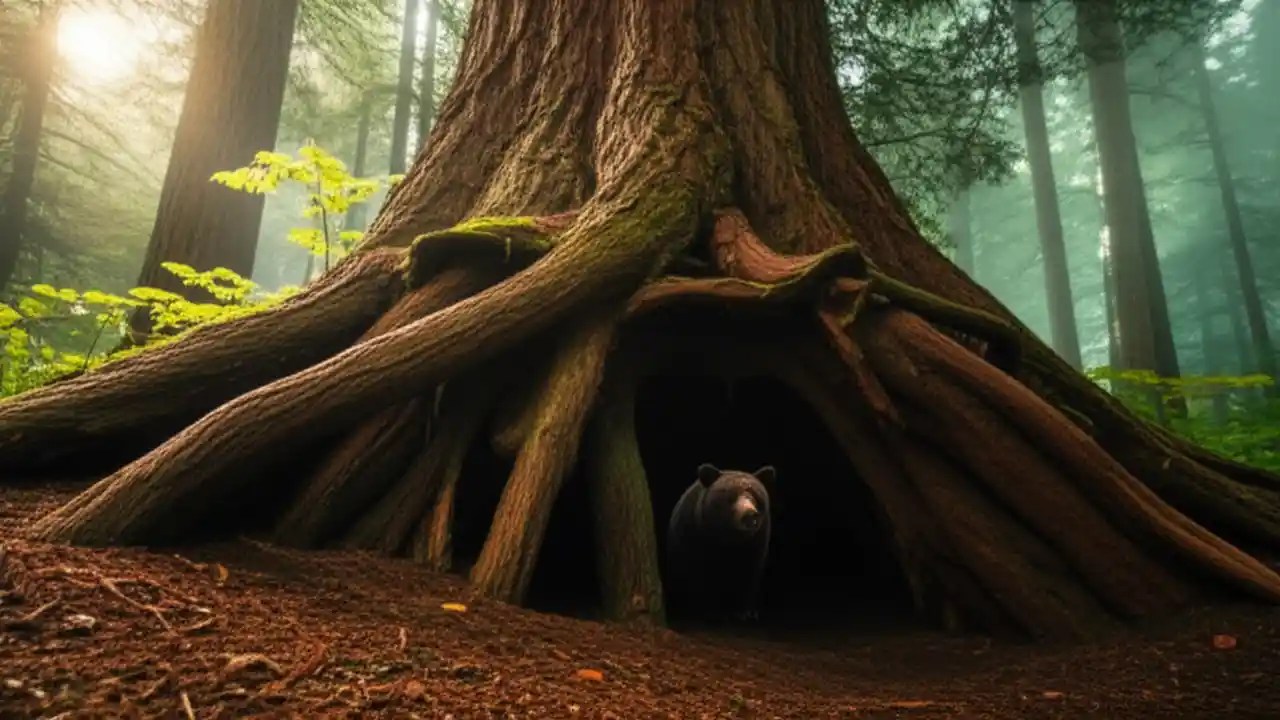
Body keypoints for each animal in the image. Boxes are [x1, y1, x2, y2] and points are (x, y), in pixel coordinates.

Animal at [665, 463, 774, 623]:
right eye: (730, 496)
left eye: (755, 496)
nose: (750, 515)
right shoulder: (692, 539)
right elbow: (698, 576)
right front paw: (711, 611)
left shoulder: (754, 545)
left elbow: (748, 575)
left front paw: (743, 612)